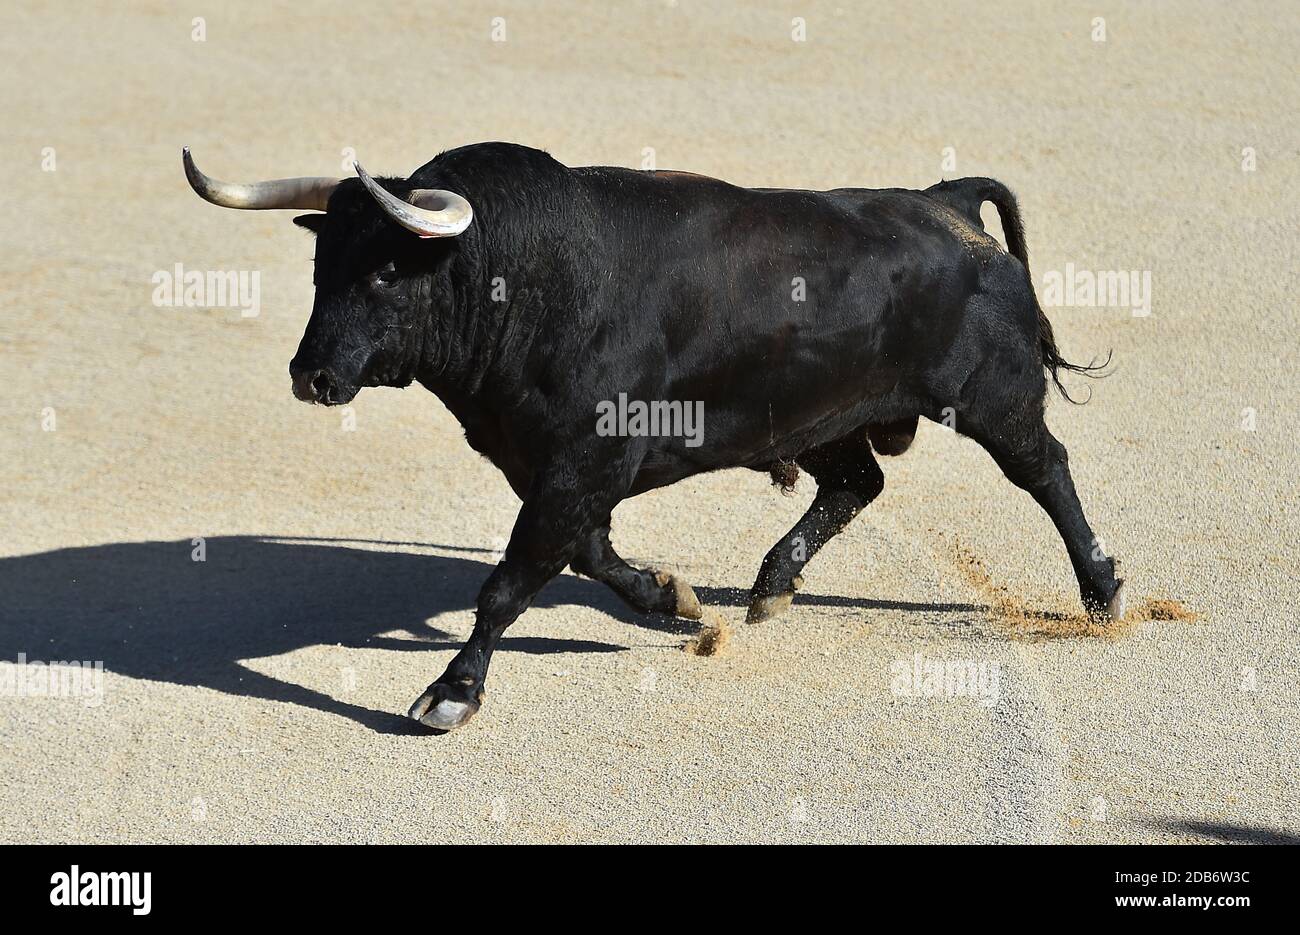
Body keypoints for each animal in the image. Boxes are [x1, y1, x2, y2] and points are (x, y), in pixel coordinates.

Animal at [183, 142, 1124, 732]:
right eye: (320, 267)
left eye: (384, 271)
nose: (311, 376)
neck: (525, 280)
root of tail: (943, 203)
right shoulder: (556, 472)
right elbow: (590, 556)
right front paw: (677, 600)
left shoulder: (580, 465)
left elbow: (508, 582)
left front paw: (452, 693)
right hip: (821, 415)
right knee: (857, 482)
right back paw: (769, 585)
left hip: (993, 398)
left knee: (1047, 471)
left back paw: (1103, 590)